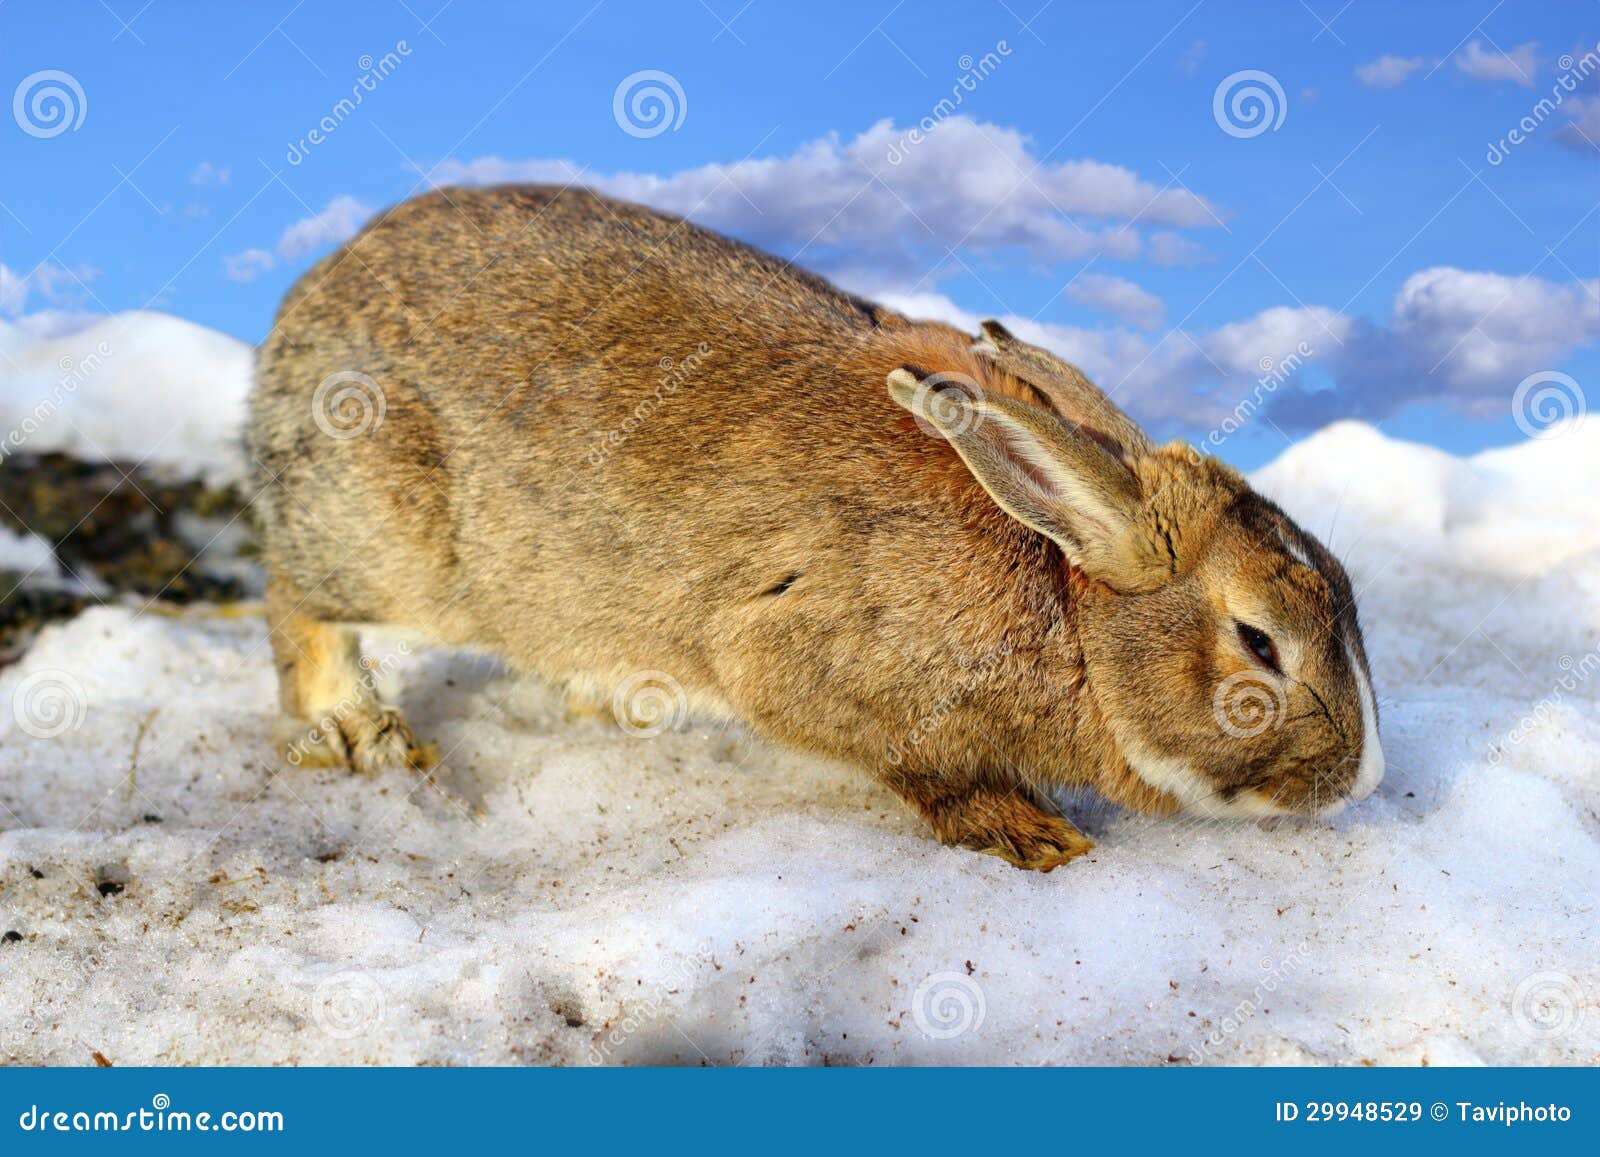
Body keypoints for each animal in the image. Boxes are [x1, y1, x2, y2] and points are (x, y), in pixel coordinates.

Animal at [248, 184, 1384, 872]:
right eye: (1257, 642)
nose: (1365, 780)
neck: (1067, 603)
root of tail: (303, 307)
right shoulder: (812, 667)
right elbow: (930, 775)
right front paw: (1037, 840)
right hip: (385, 539)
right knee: (297, 594)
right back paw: (356, 730)